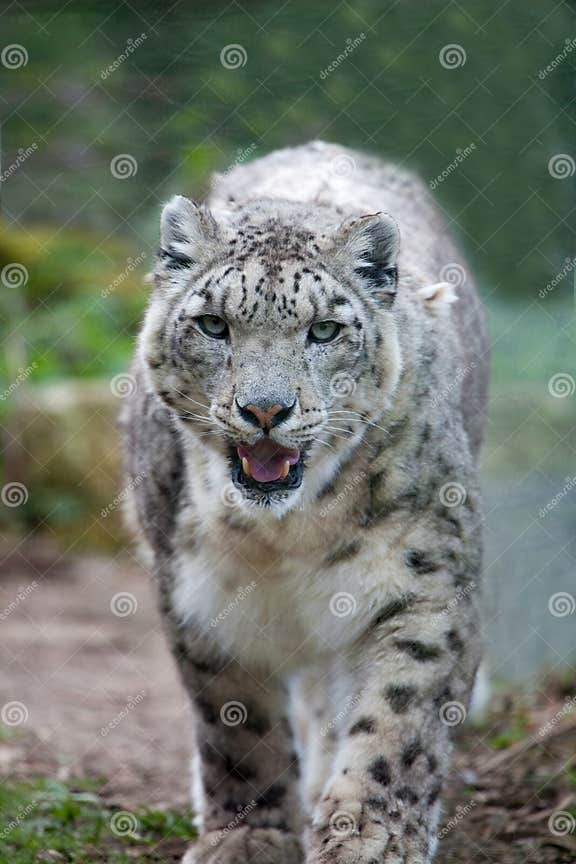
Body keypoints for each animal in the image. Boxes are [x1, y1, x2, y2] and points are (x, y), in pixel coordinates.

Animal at [120, 140, 489, 864]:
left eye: (323, 330)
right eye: (213, 324)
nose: (266, 409)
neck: (283, 534)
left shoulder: (429, 582)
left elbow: (399, 718)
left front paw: (372, 839)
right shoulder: (200, 597)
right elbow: (236, 728)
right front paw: (247, 836)